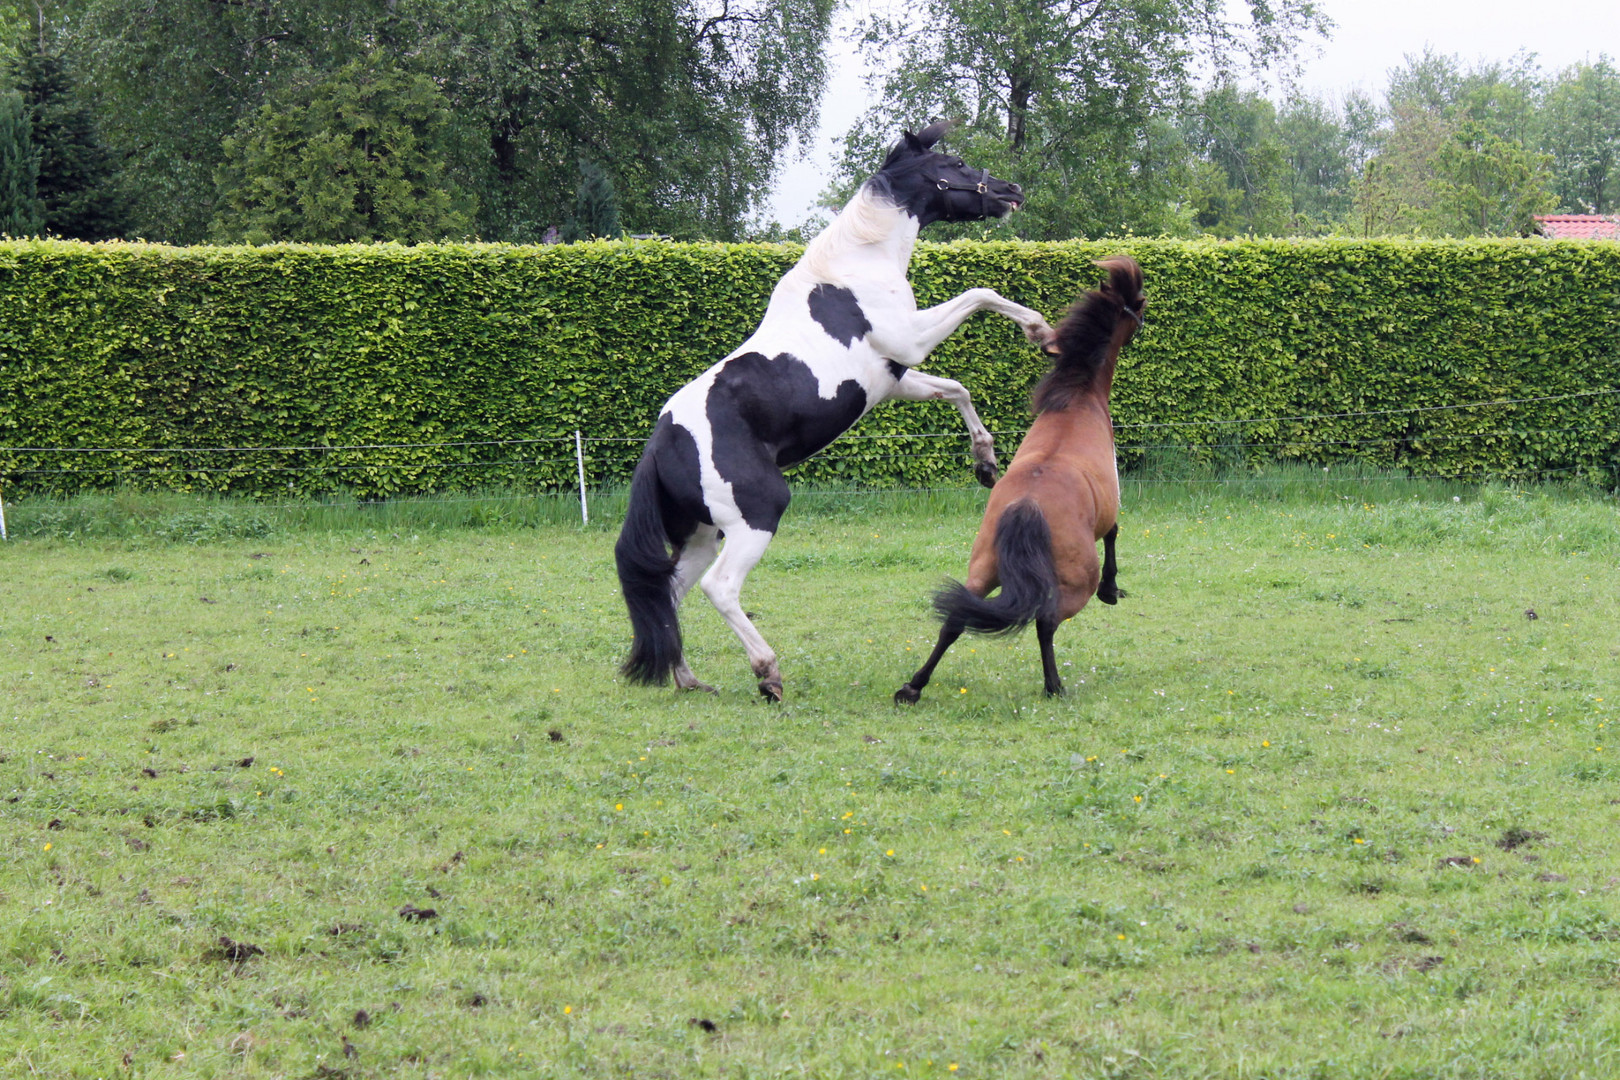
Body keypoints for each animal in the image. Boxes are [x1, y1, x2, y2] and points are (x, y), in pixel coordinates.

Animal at [616, 121, 1057, 701]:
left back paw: (689, 679)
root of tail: (661, 444)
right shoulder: (911, 340)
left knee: (670, 591)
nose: (1012, 191)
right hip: (757, 514)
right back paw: (768, 674)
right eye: (956, 163)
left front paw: (985, 462)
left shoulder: (895, 377)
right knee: (720, 588)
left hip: (700, 535)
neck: (855, 267)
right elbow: (980, 292)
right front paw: (1040, 331)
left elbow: (956, 390)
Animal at [894, 256, 1145, 703]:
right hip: (1072, 585)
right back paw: (1054, 686)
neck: (1076, 401)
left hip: (982, 571)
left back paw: (913, 686)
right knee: (1046, 621)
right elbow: (1115, 533)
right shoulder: (1110, 503)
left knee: (956, 619)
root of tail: (1027, 507)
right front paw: (1112, 591)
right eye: (1140, 304)